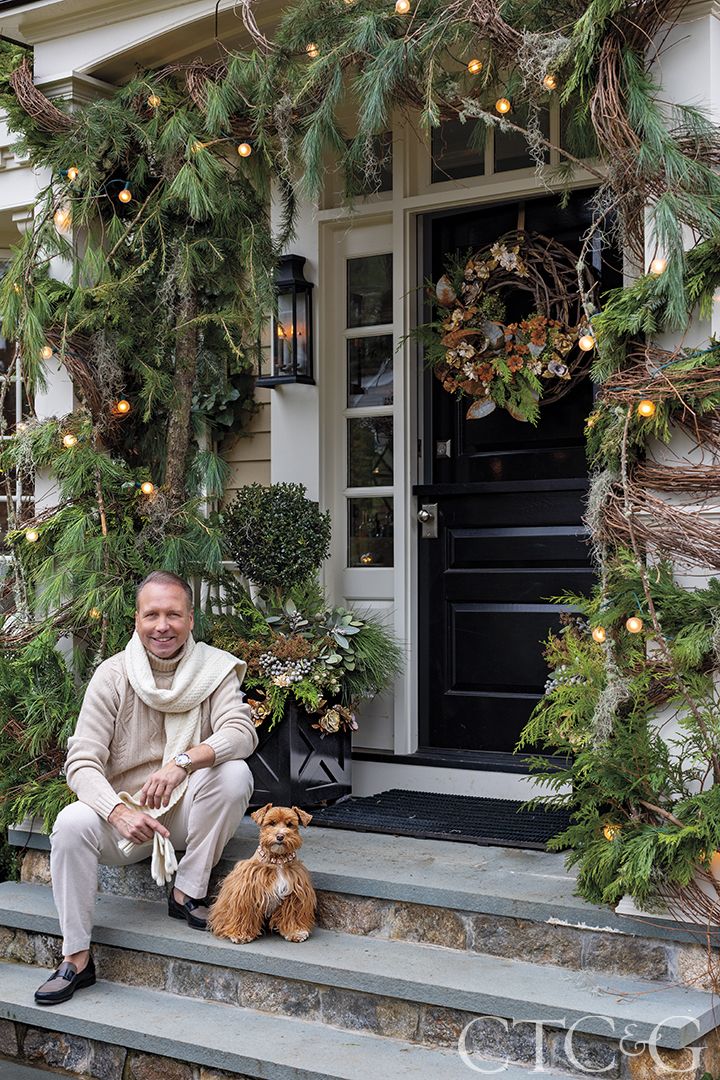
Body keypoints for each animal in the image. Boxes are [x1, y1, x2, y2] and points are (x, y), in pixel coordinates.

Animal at [209, 803, 319, 946]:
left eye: (290, 824)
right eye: (271, 823)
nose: (280, 836)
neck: (278, 860)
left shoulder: (295, 892)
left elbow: (292, 914)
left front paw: (295, 932)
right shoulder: (247, 891)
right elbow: (244, 914)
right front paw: (241, 934)